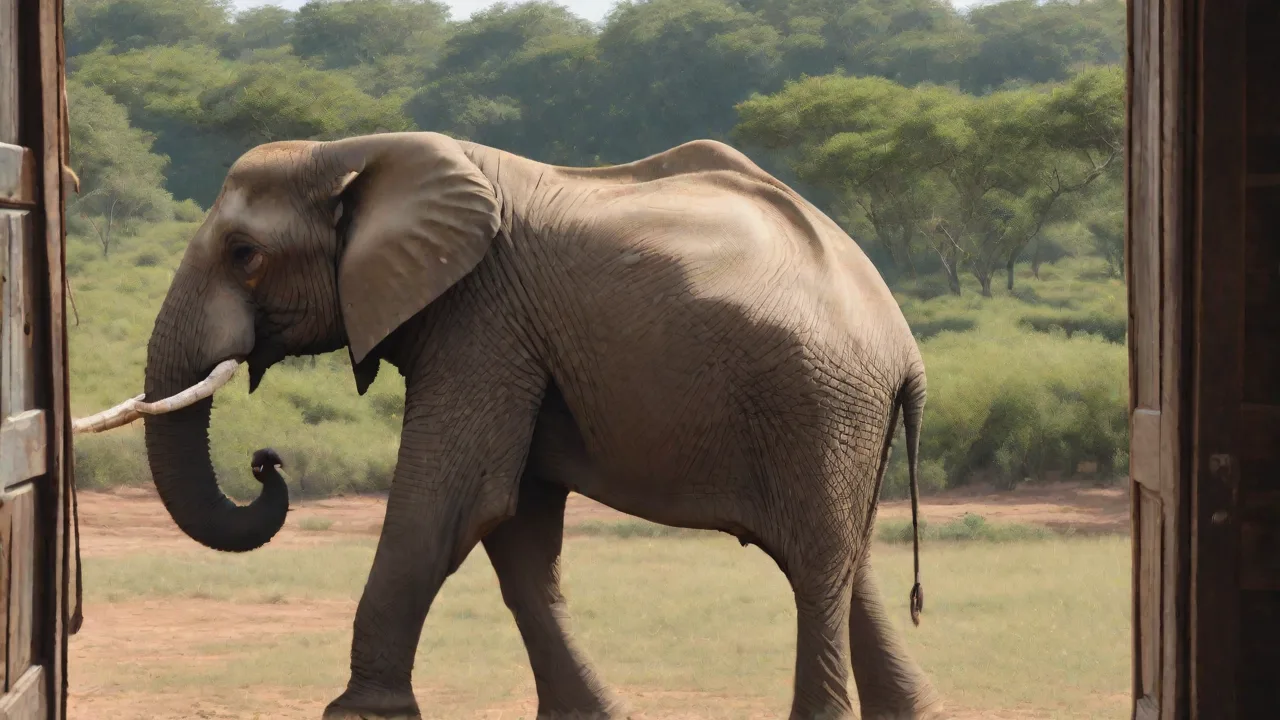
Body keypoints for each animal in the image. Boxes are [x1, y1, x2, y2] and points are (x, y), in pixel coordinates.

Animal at [124, 131, 942, 720]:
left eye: (245, 255)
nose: (267, 462)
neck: (354, 151)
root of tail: (904, 348)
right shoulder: (509, 333)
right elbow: (516, 529)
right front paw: (588, 716)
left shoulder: (480, 316)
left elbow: (451, 501)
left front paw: (359, 714)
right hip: (842, 414)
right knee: (849, 558)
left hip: (820, 400)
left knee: (816, 564)